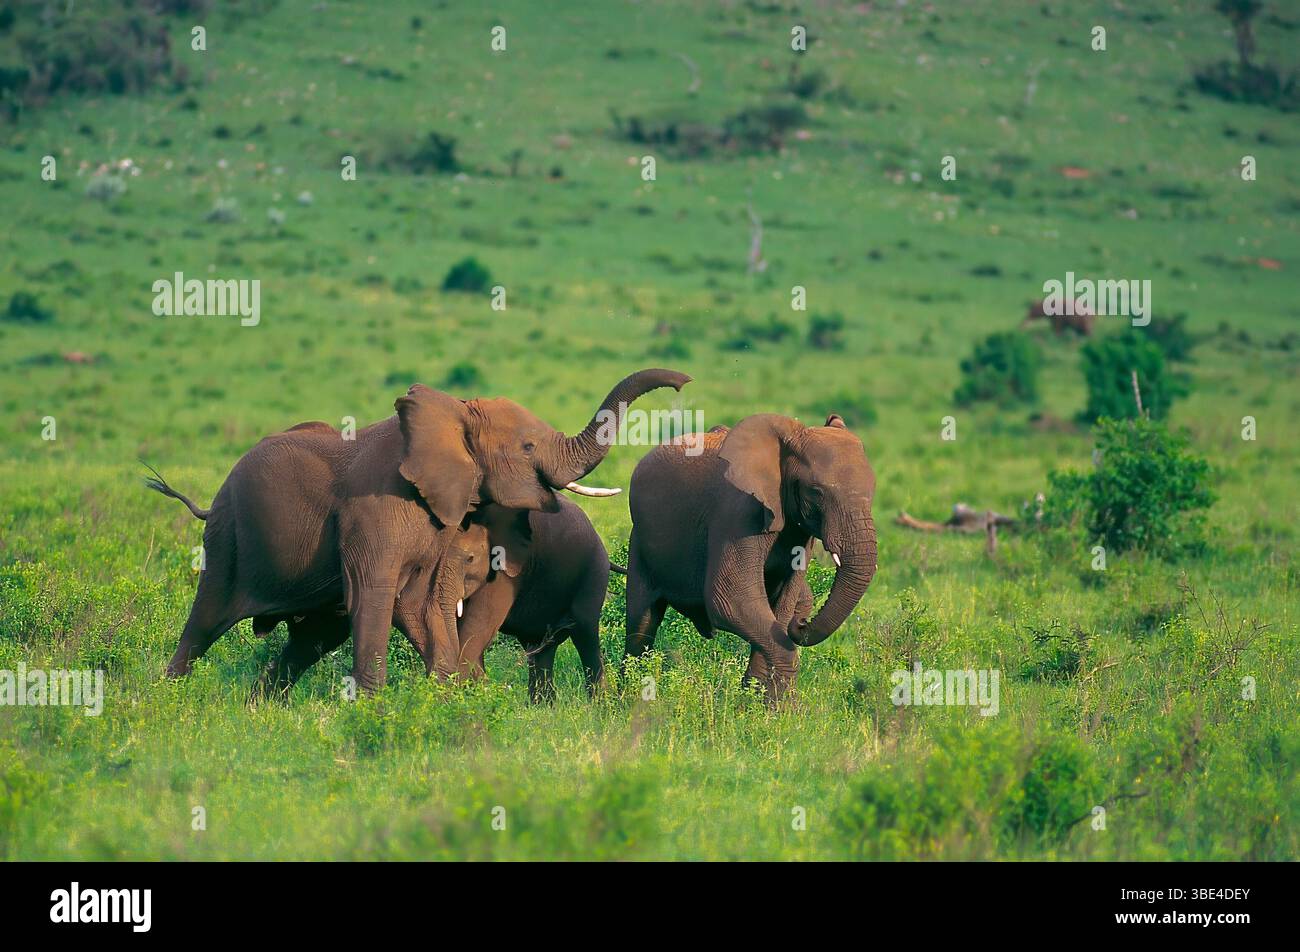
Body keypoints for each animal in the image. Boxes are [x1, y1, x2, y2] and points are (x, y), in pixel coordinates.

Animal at [146, 368, 691, 693]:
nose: (684, 383)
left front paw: (447, 694)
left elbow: (419, 603)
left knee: (313, 640)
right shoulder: (375, 510)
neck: (453, 411)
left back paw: (259, 708)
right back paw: (170, 698)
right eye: (529, 447)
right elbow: (376, 595)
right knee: (205, 620)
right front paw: (374, 708)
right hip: (228, 533)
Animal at [623, 413, 877, 703]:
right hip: (639, 539)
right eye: (816, 491)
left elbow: (781, 605)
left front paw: (757, 702)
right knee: (641, 620)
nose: (802, 623)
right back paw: (626, 695)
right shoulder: (738, 512)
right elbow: (731, 600)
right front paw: (777, 706)